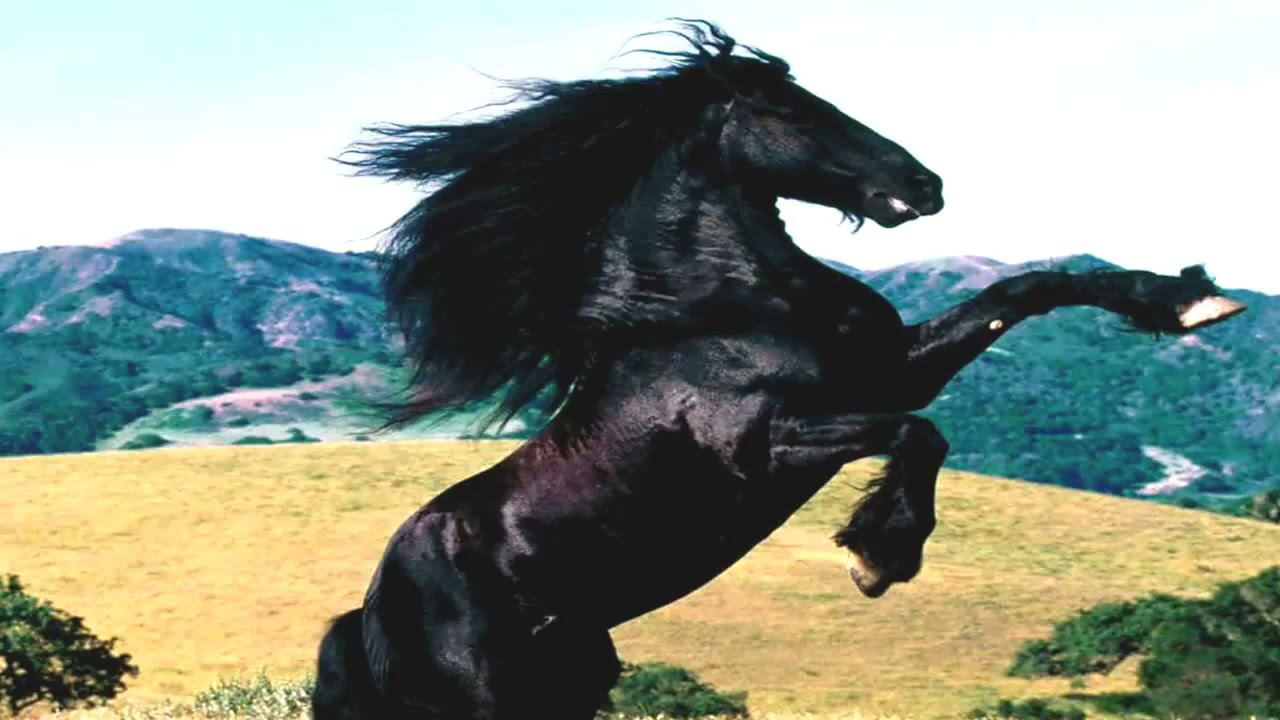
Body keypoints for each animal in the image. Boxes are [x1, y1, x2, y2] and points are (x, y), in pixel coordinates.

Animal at [311, 20, 1248, 720]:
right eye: (790, 110)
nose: (924, 184)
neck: (719, 307)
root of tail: (368, 613)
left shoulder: (893, 371)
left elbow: (1024, 290)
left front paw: (1188, 302)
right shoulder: (770, 444)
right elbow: (920, 434)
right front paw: (878, 556)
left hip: (573, 679)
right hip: (486, 702)